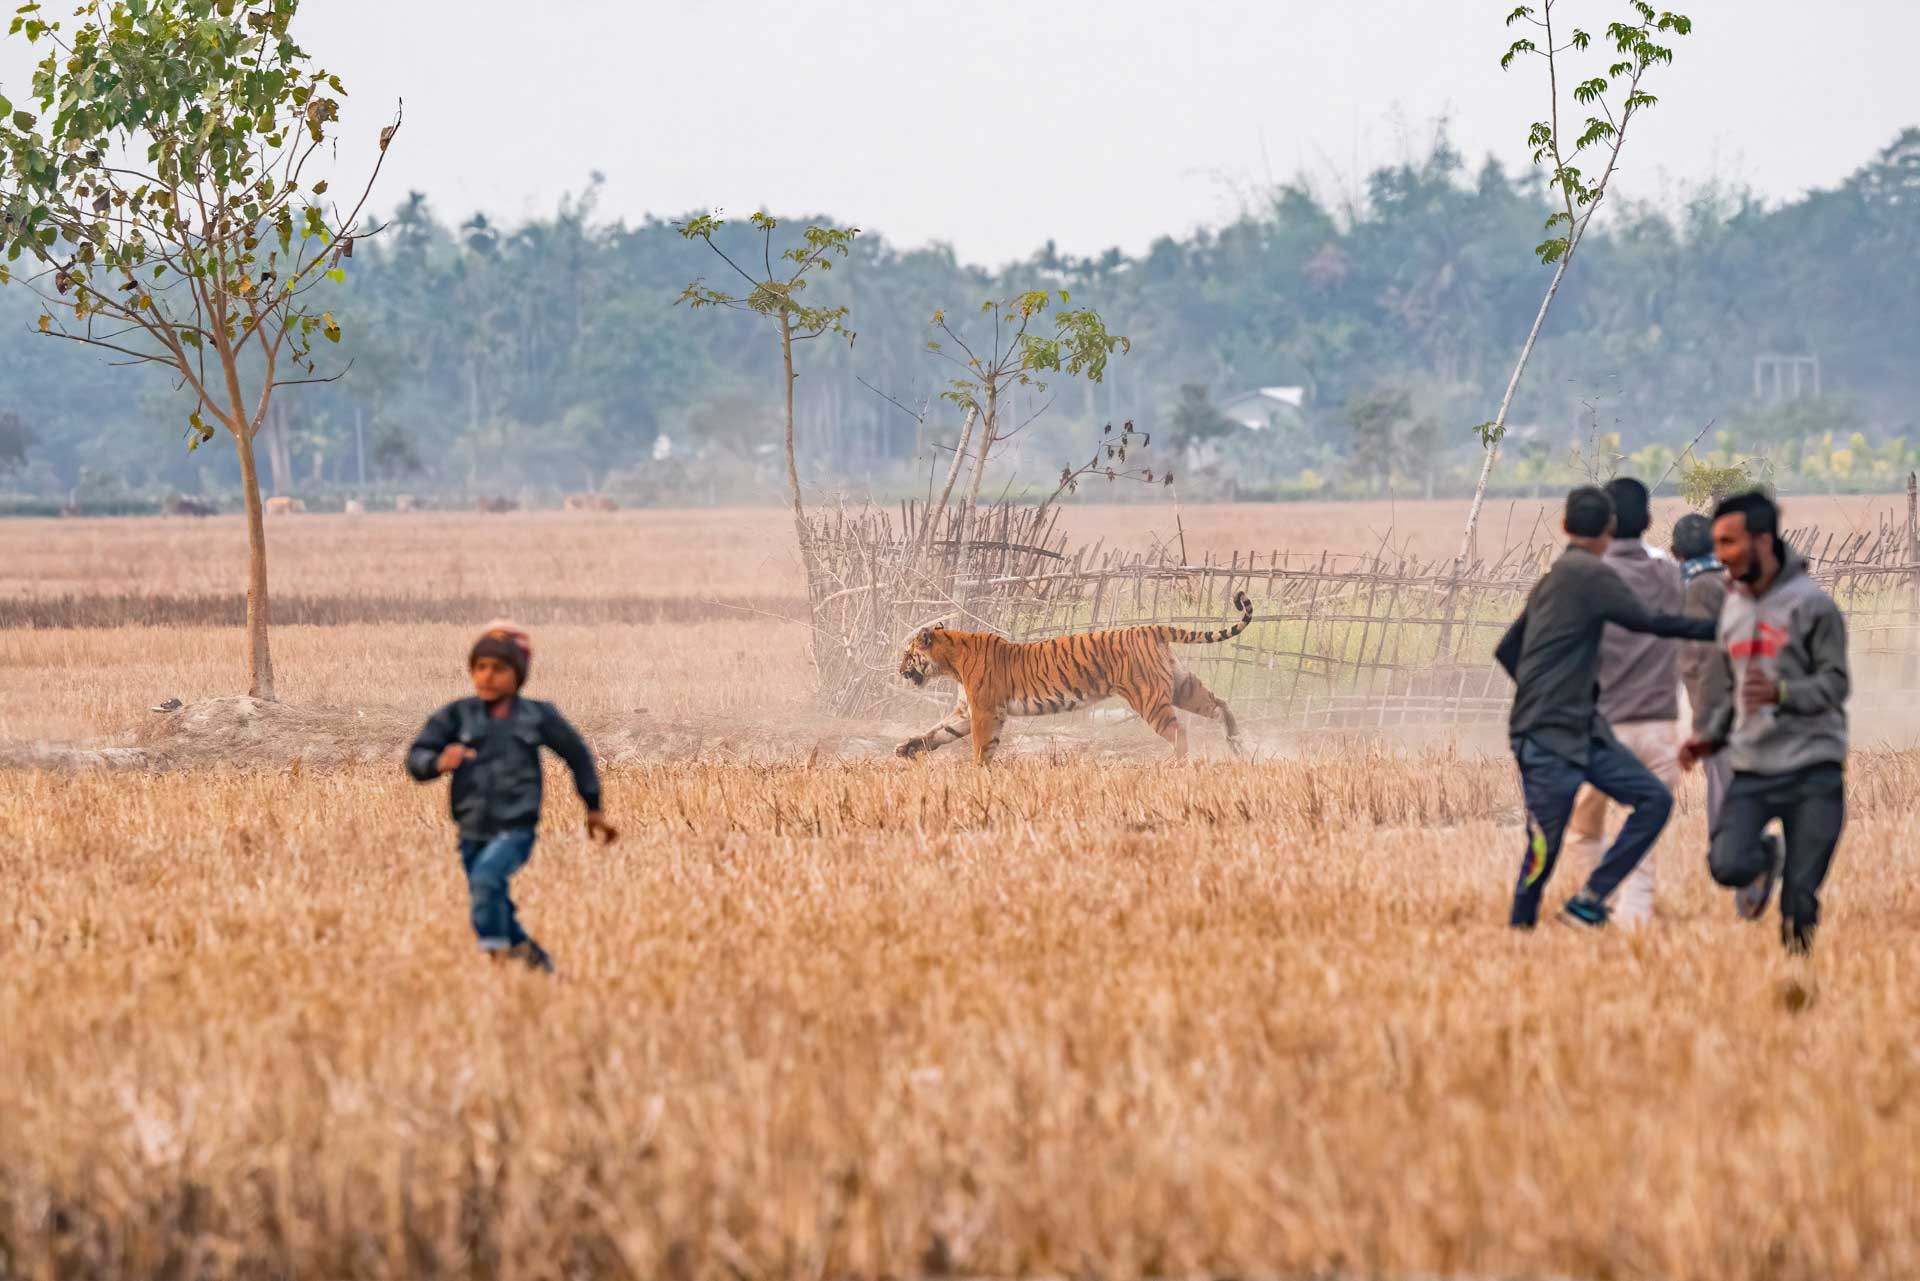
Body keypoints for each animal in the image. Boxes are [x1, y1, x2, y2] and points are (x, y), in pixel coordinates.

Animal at [895, 591, 1253, 764]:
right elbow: (938, 733)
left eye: (907, 654)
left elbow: (981, 746)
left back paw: (1172, 765)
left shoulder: (984, 711)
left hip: (1150, 699)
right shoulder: (966, 711)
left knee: (1180, 734)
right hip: (1181, 686)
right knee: (1220, 704)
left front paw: (978, 773)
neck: (951, 660)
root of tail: (1151, 628)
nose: (899, 671)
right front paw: (906, 748)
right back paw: (1237, 745)